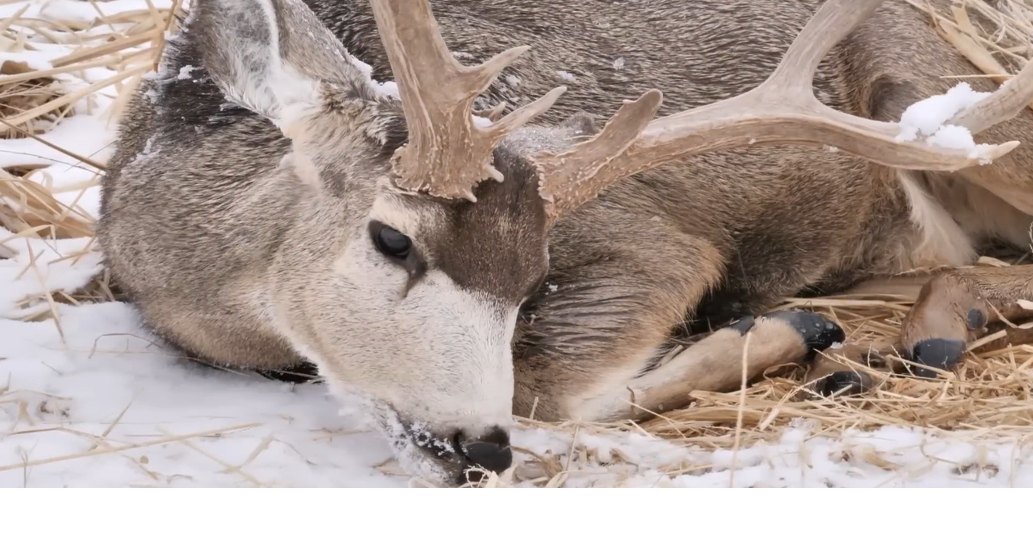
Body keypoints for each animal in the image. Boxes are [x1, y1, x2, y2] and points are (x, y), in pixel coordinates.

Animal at [96, 0, 1033, 486]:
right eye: (391, 239)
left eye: (534, 275)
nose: (479, 445)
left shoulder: (651, 245)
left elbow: (554, 390)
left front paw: (775, 335)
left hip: (940, 102)